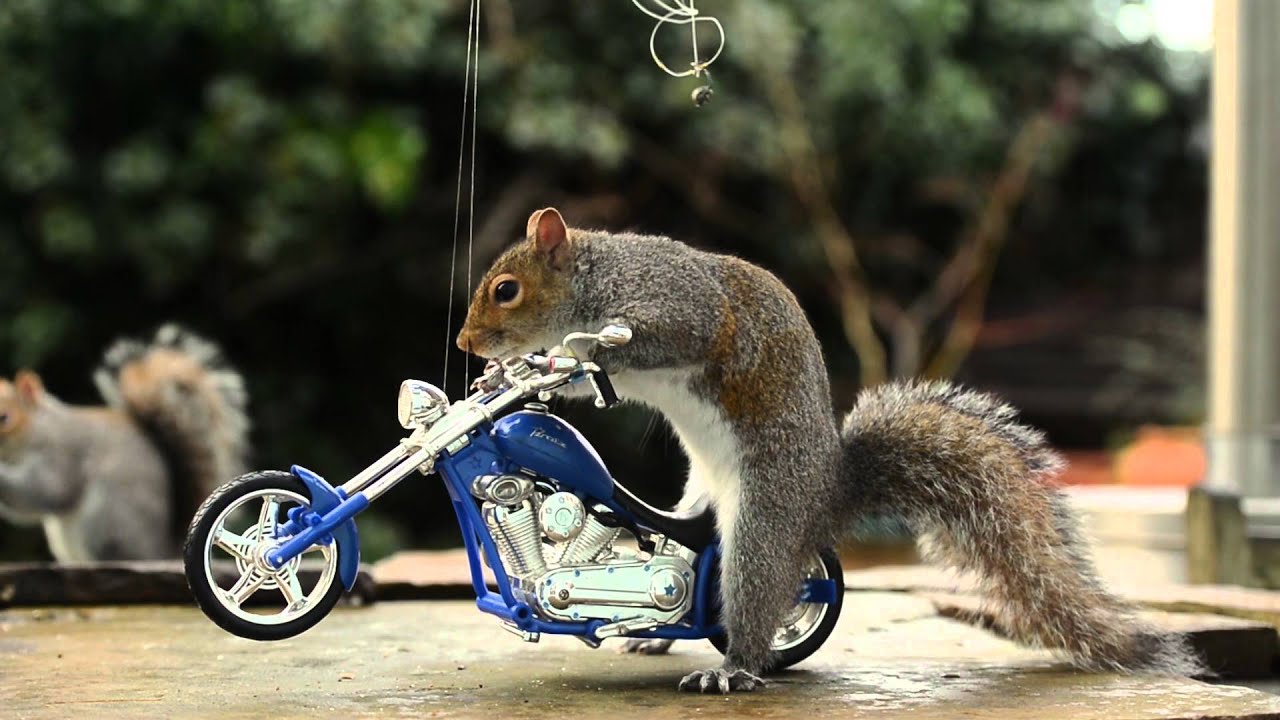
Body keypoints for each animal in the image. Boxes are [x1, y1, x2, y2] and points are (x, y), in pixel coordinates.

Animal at [0, 325, 249, 562]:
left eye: (5, 418)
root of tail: (163, 549)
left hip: (105, 521)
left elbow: (48, 489)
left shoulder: (61, 450)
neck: (34, 430)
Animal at [456, 208, 1203, 694]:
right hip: (701, 503)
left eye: (505, 290)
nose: (465, 344)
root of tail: (828, 494)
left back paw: (734, 670)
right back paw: (660, 635)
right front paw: (506, 377)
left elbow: (664, 337)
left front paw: (566, 353)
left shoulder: (676, 301)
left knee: (752, 595)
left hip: (766, 516)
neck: (598, 277)